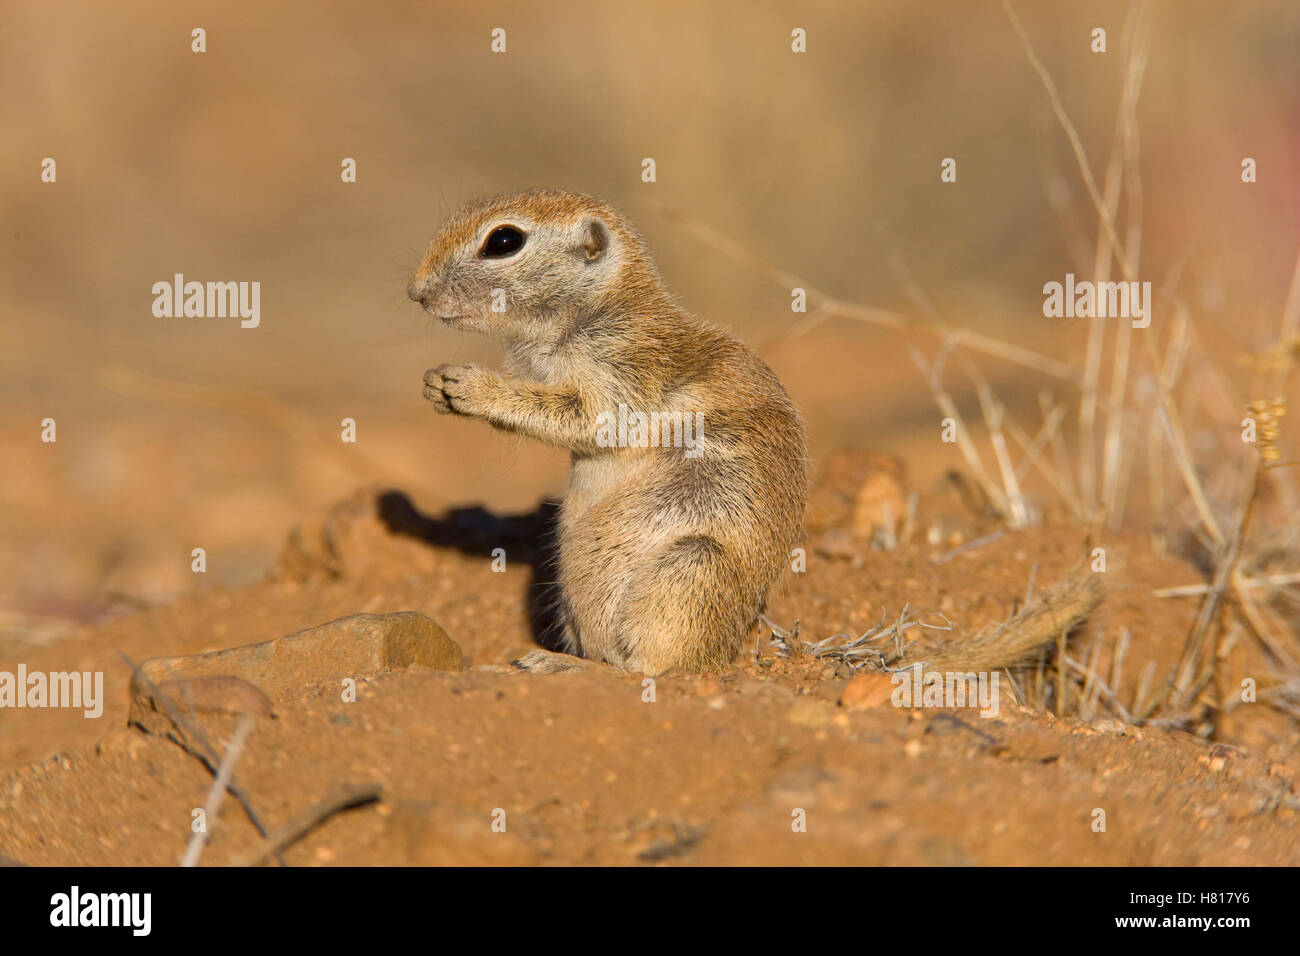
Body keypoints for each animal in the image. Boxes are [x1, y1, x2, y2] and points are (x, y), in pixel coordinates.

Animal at [408, 189, 809, 675]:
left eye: (504, 241)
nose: (417, 290)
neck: (599, 307)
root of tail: (723, 655)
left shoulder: (625, 364)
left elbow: (587, 418)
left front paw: (470, 385)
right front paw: (435, 385)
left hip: (692, 567)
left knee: (645, 670)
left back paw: (559, 665)